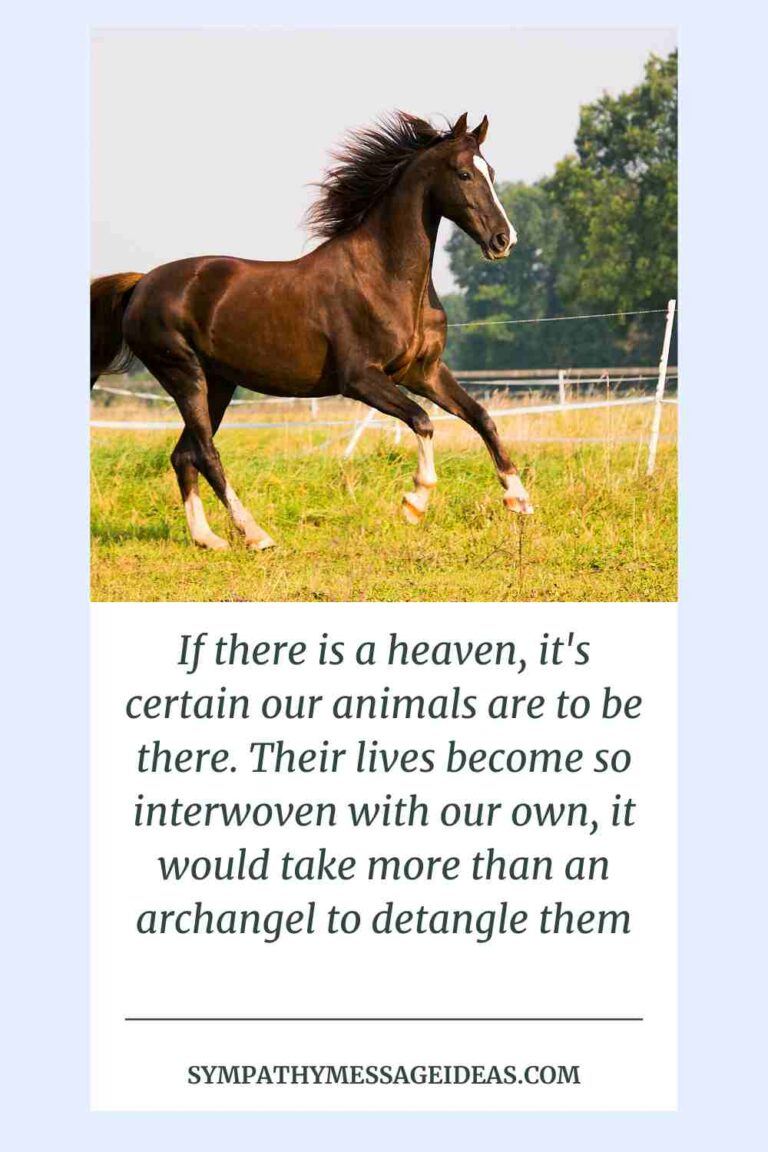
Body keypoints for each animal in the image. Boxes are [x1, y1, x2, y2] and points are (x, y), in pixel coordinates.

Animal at [90, 111, 533, 552]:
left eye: (491, 172)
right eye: (464, 174)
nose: (504, 240)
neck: (384, 278)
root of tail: (141, 284)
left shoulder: (423, 373)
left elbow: (481, 416)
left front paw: (519, 499)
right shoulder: (360, 379)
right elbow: (423, 420)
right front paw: (415, 502)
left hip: (217, 383)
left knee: (184, 455)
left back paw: (208, 538)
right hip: (185, 376)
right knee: (206, 454)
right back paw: (256, 535)